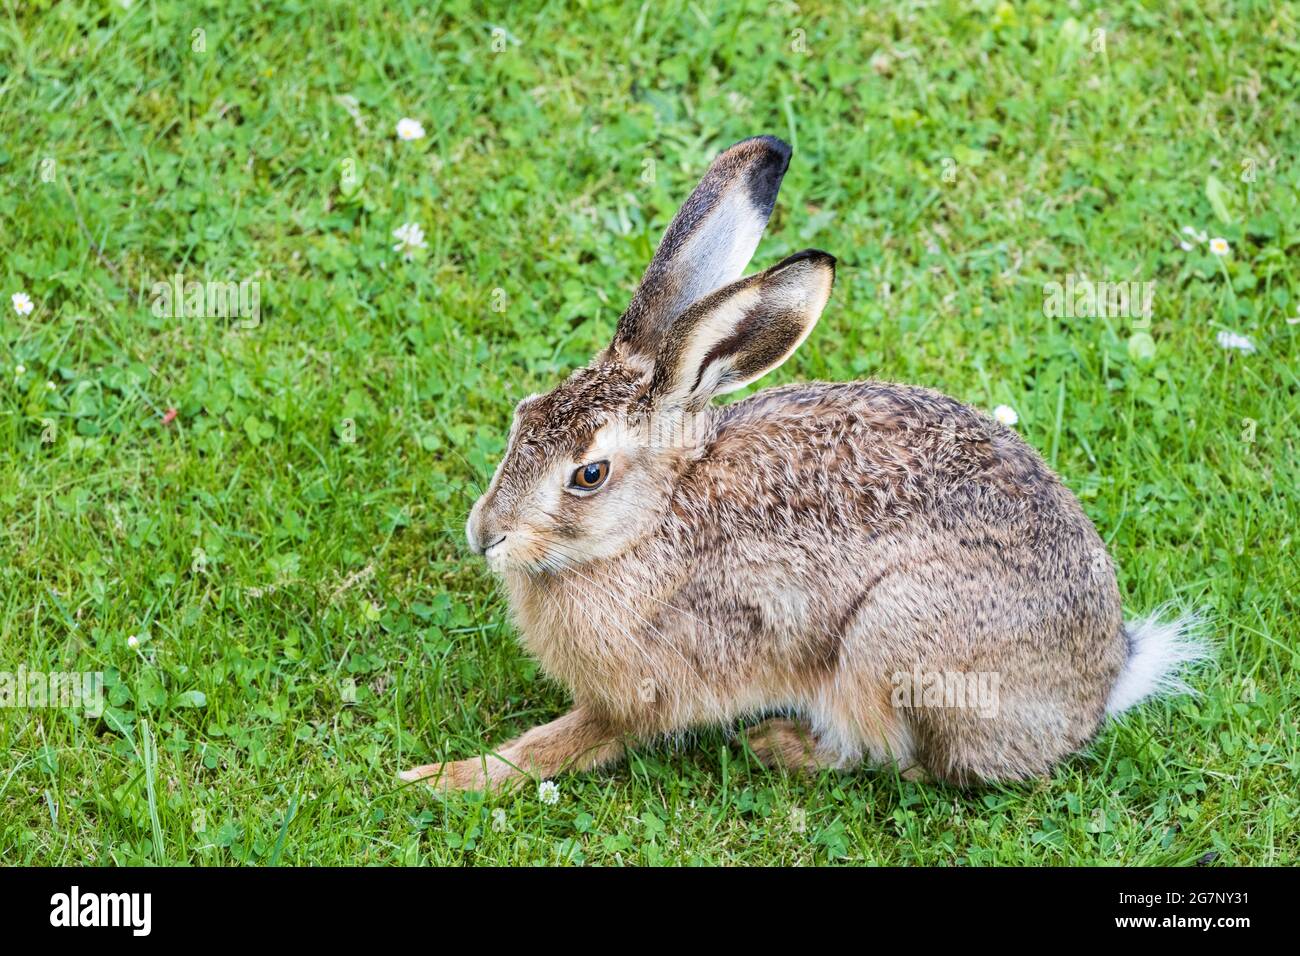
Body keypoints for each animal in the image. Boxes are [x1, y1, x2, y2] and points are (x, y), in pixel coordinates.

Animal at [400, 134, 1206, 791]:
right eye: (523, 414)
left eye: (588, 475)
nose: (485, 536)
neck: (647, 528)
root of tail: (1099, 685)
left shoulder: (650, 686)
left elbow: (563, 744)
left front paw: (442, 780)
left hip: (890, 642)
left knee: (897, 758)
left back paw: (776, 745)